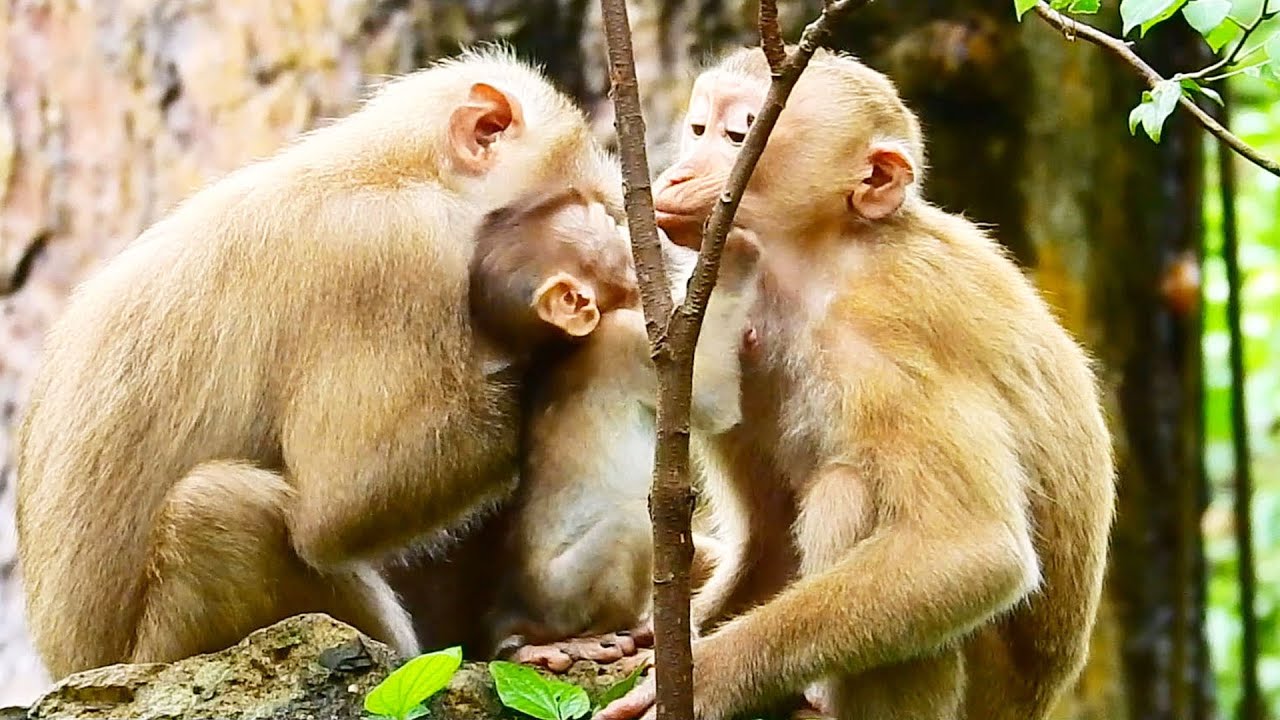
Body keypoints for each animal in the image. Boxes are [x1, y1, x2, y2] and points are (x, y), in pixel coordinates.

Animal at [14, 47, 632, 680]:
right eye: (588, 203)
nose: (618, 234)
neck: (394, 171)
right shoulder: (394, 255)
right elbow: (343, 502)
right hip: (169, 646)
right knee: (221, 510)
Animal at [463, 185, 760, 672]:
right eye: (607, 229)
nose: (626, 227)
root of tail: (518, 610)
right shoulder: (627, 341)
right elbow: (710, 397)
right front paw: (733, 253)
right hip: (563, 595)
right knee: (632, 524)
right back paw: (591, 638)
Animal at [595, 47, 1116, 720]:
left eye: (741, 134)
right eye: (699, 129)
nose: (677, 177)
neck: (819, 264)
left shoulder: (891, 336)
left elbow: (974, 549)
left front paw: (700, 676)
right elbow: (771, 540)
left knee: (849, 490)